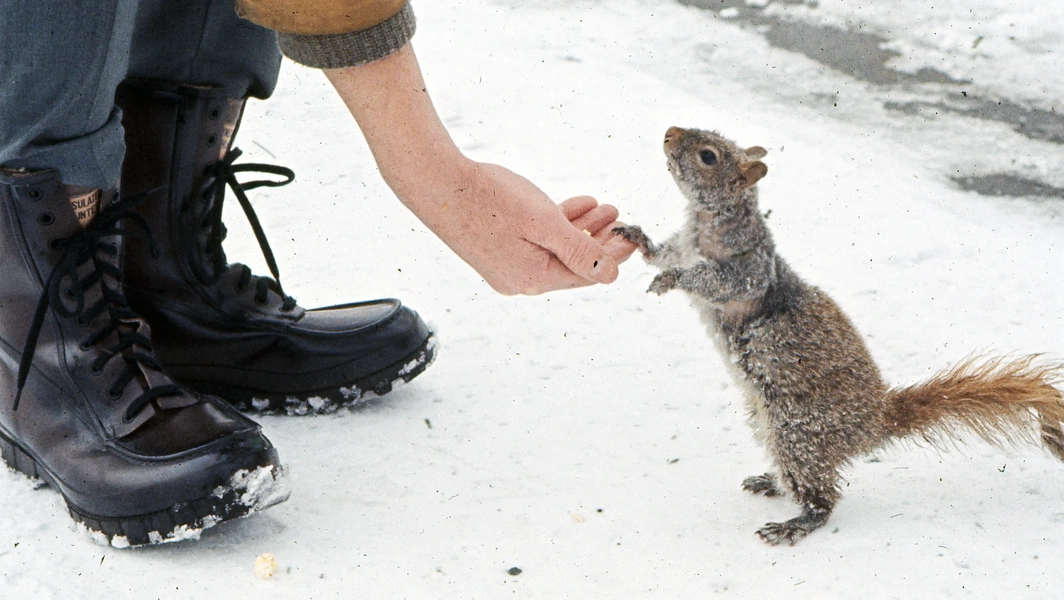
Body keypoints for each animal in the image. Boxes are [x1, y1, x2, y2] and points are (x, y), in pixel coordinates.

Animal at [613, 126, 1064, 545]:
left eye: (708, 155)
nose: (669, 133)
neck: (704, 225)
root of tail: (876, 422)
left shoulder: (748, 270)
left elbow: (719, 281)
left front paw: (673, 279)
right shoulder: (682, 246)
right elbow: (660, 253)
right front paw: (635, 237)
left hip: (796, 433)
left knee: (822, 499)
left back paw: (793, 524)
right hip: (771, 426)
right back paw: (770, 482)